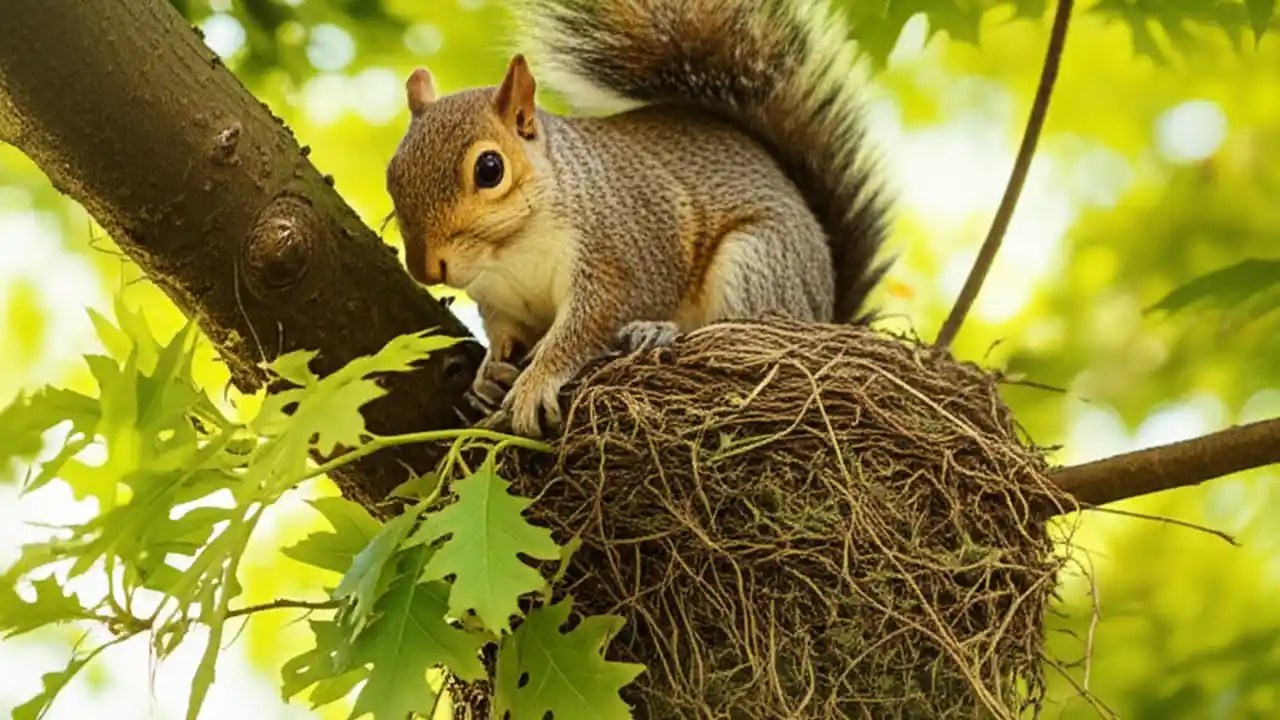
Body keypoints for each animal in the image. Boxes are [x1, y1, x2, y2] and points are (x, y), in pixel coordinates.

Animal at [386, 0, 890, 438]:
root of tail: (827, 309)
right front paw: (490, 373)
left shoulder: (623, 253)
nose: (426, 269)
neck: (510, 251)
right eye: (392, 174)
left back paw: (657, 330)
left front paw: (536, 382)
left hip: (755, 265)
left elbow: (590, 325)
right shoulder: (501, 299)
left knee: (736, 327)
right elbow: (506, 333)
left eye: (489, 169)